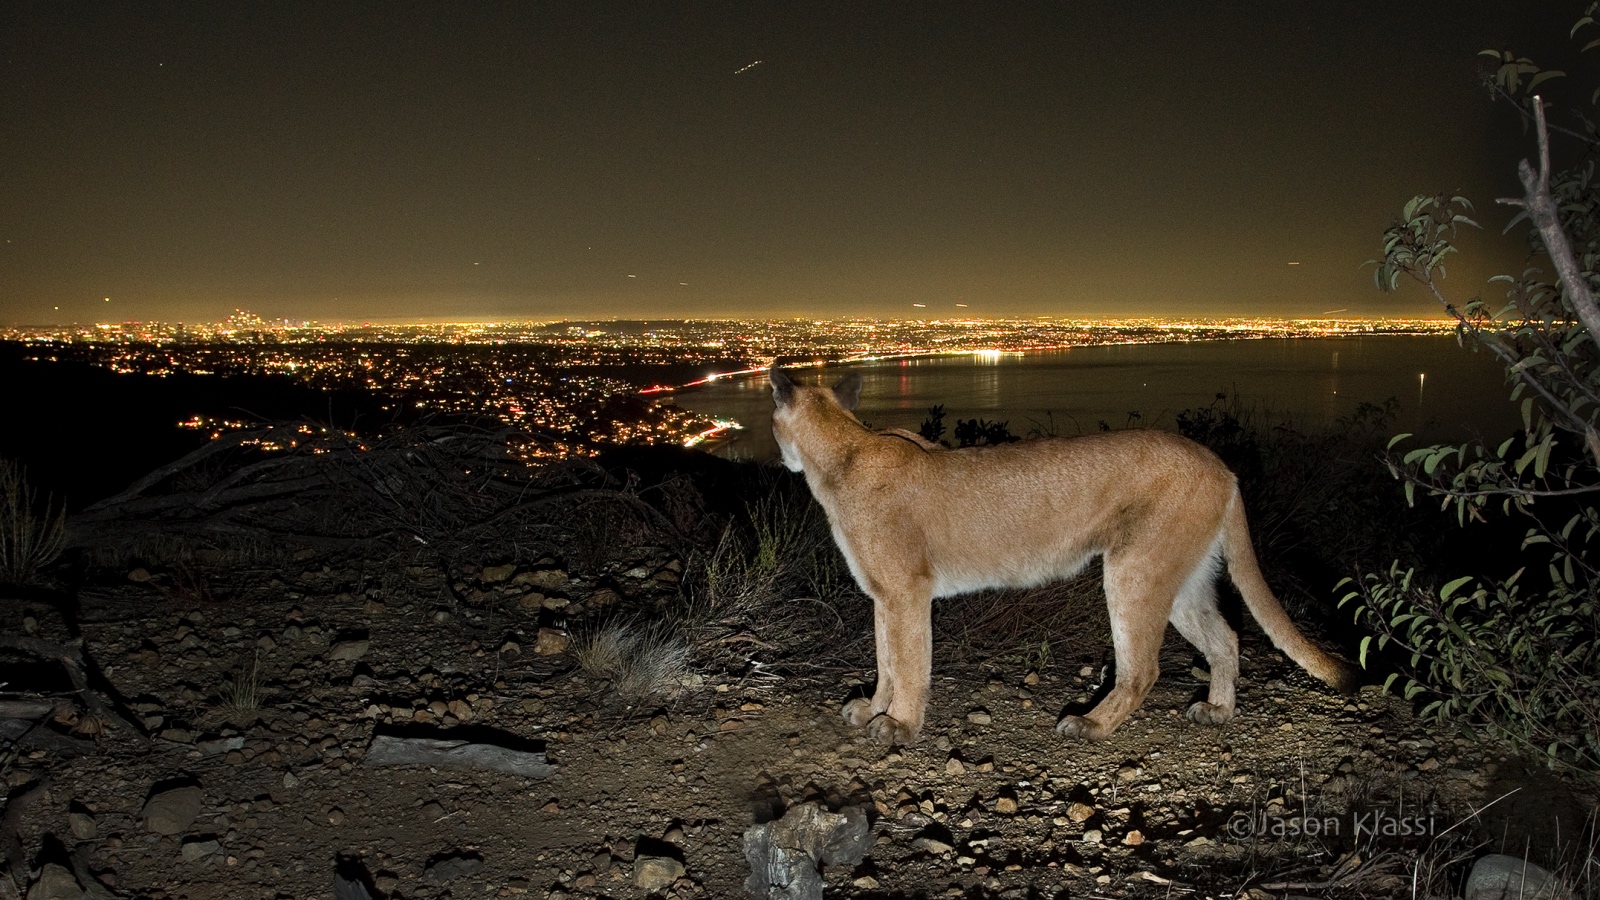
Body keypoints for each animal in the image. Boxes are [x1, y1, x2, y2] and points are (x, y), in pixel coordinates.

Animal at [768, 365, 1359, 745]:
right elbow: (885, 659)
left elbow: (909, 662)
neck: (843, 449)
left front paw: (899, 725)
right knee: (1226, 637)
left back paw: (1091, 725)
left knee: (1142, 668)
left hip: (1134, 568)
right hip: (1182, 578)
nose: (779, 456)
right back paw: (1217, 710)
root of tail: (1222, 466)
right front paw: (873, 708)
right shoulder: (882, 594)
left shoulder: (906, 590)